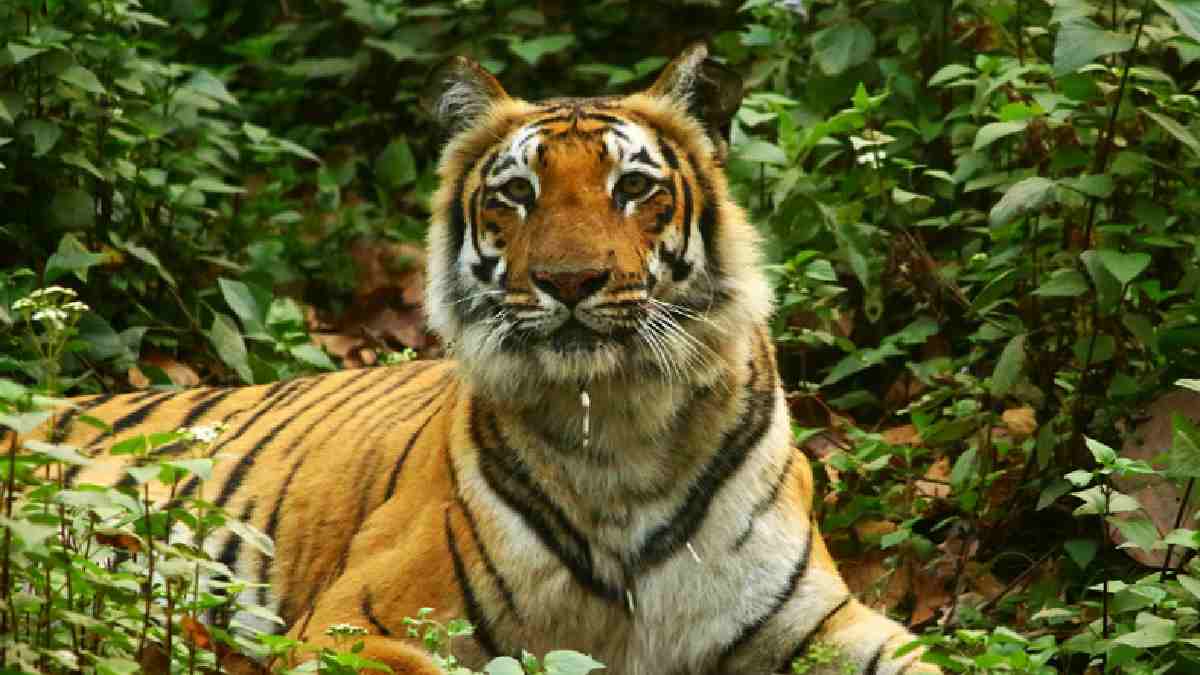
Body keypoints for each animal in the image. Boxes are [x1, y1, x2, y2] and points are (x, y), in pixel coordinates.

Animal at [51, 44, 940, 675]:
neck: (618, 426)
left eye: (632, 187)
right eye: (517, 193)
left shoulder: (819, 620)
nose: (571, 280)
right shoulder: (354, 622)